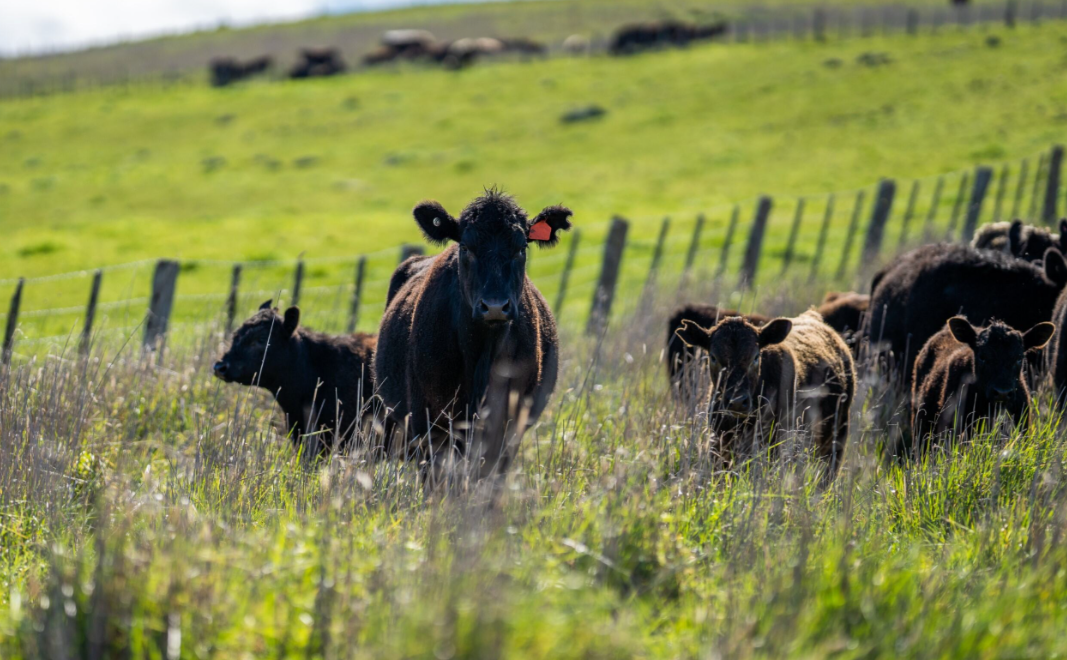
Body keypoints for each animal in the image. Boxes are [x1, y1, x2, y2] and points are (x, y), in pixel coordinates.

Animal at [374, 189, 572, 478]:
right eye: (466, 247)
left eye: (521, 248)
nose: (495, 306)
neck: (480, 352)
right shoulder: (427, 420)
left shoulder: (508, 425)